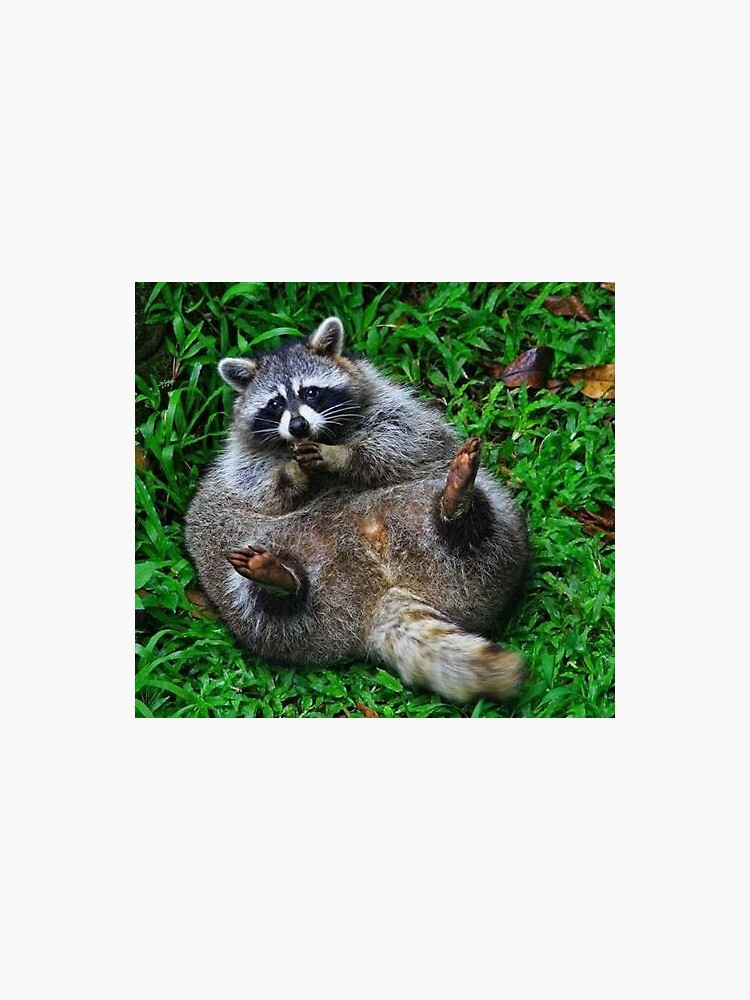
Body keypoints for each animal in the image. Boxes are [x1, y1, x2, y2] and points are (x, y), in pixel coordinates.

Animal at [184, 316, 530, 704]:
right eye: (274, 404)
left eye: (310, 393)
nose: (298, 426)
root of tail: (381, 597)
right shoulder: (243, 460)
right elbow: (265, 490)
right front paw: (293, 473)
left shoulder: (391, 404)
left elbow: (401, 440)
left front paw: (342, 456)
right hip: (270, 611)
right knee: (259, 600)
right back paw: (278, 579)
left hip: (472, 549)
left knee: (482, 530)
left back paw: (456, 505)